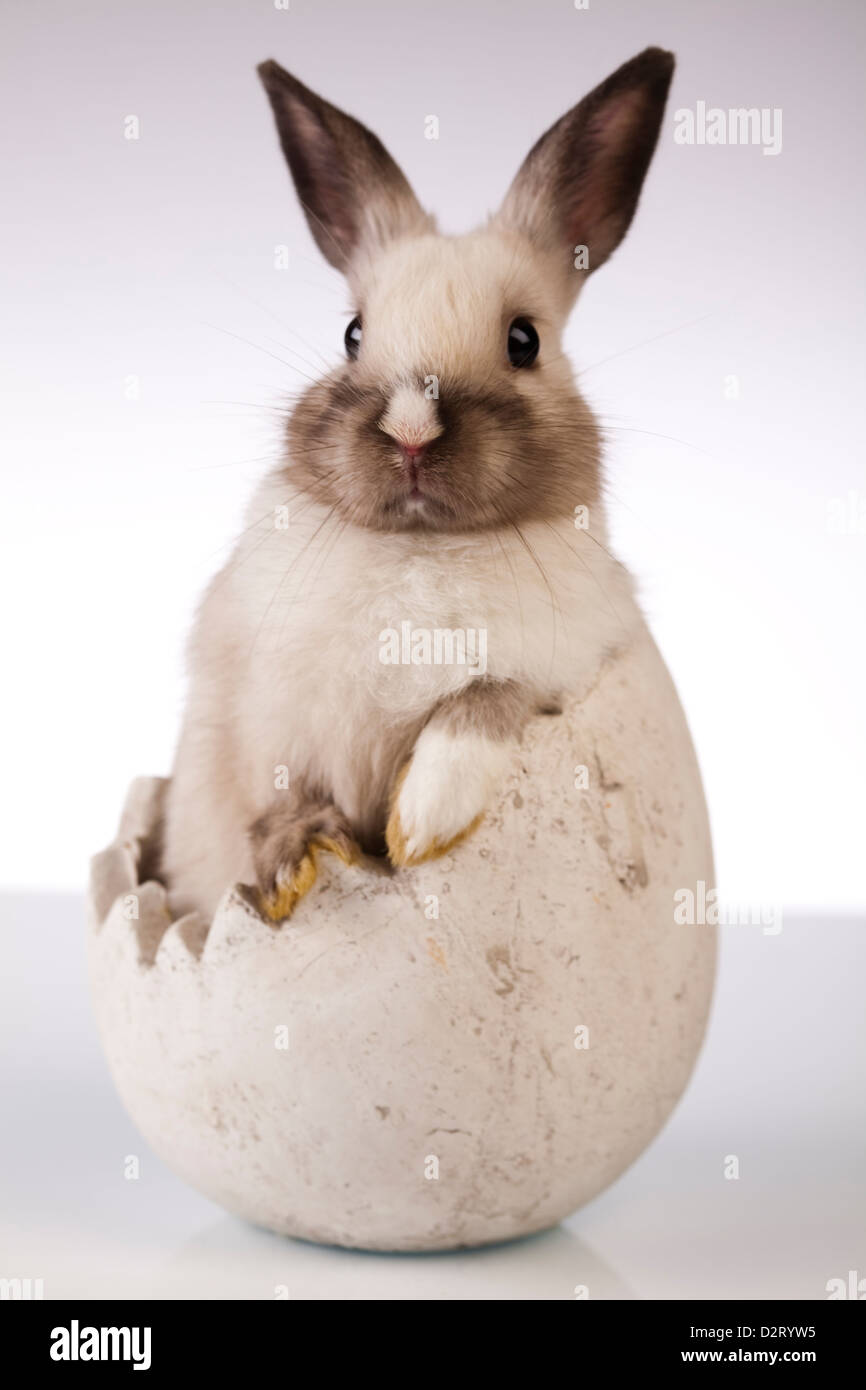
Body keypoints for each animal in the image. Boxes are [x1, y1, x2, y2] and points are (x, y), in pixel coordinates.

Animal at [161, 48, 675, 924]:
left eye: (524, 341)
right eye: (352, 333)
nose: (410, 432)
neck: (421, 548)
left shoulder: (555, 669)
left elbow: (480, 702)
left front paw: (421, 825)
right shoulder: (260, 719)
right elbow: (278, 796)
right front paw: (294, 862)